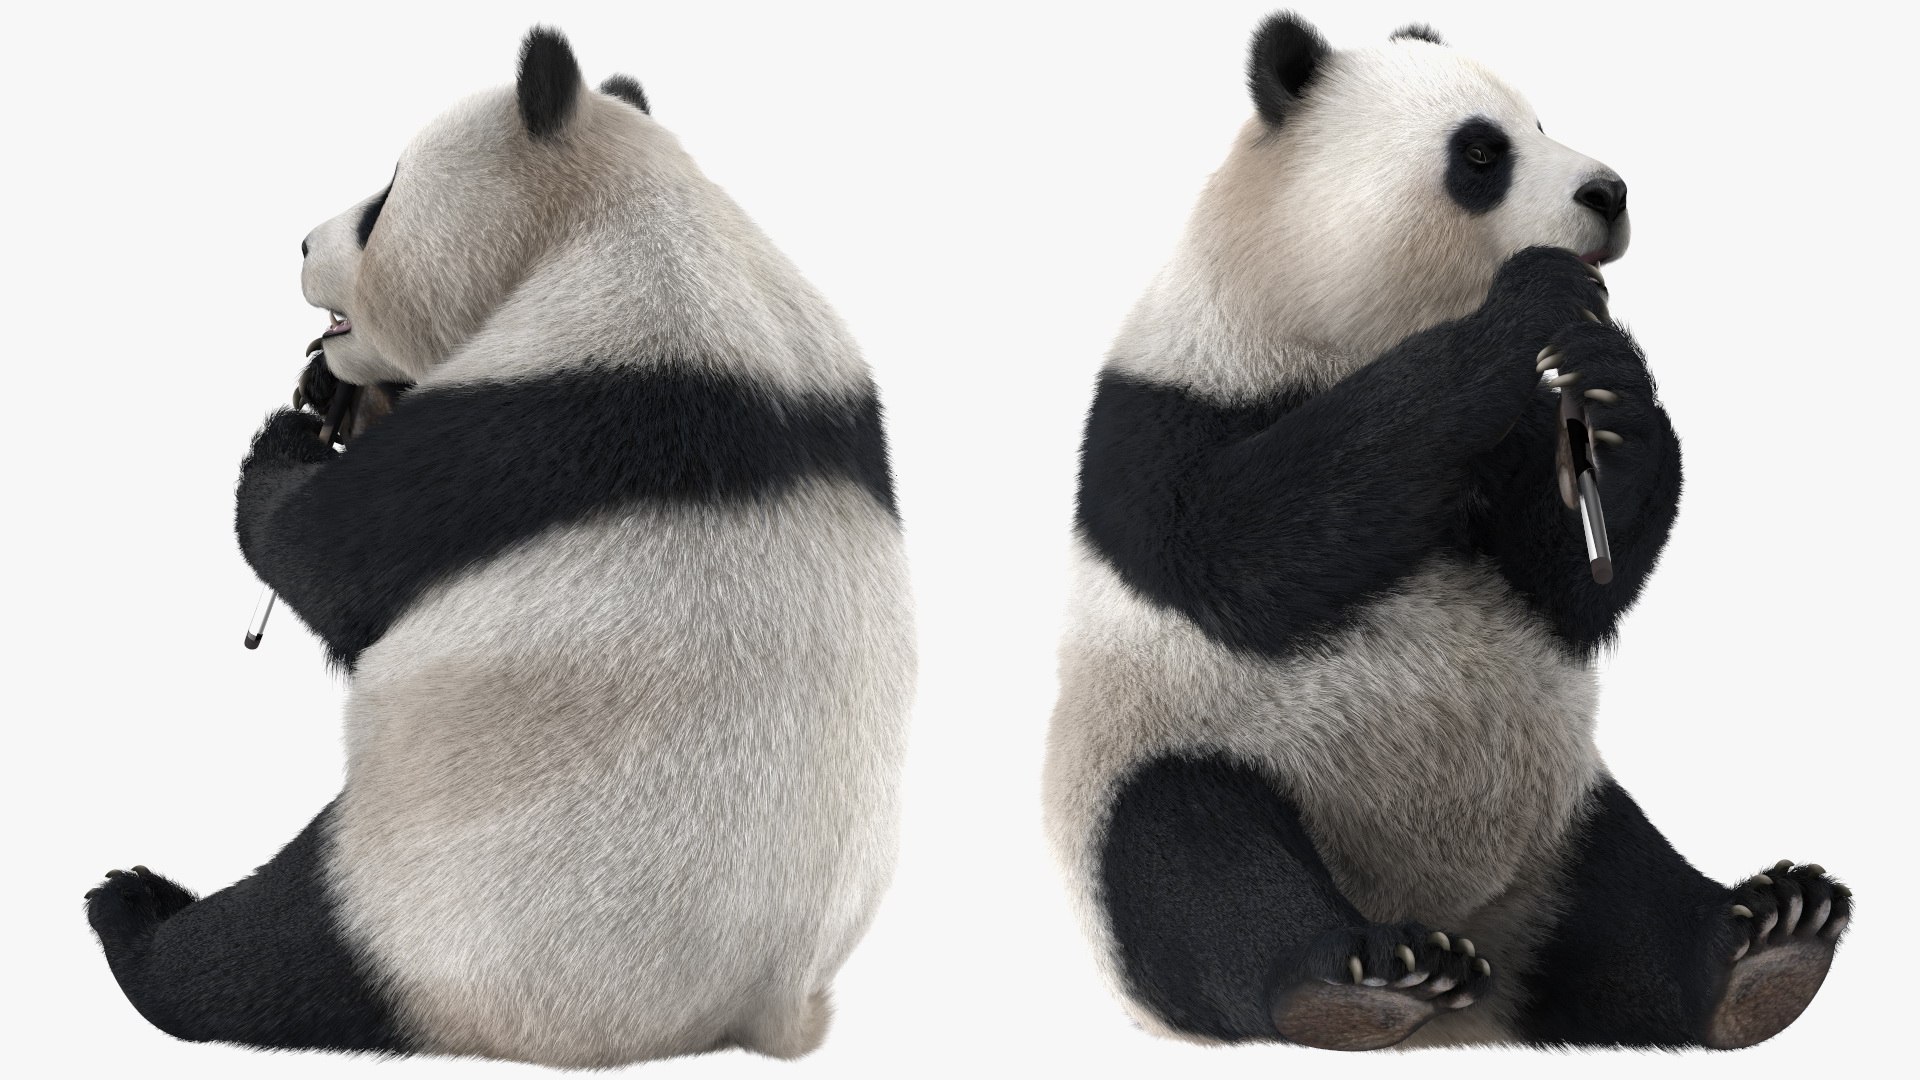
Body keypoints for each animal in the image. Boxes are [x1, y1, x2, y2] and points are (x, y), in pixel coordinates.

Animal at [85, 28, 914, 1068]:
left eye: (384, 201)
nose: (301, 245)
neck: (607, 213)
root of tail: (758, 1010)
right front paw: (334, 392)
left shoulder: (547, 404)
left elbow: (334, 563)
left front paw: (289, 437)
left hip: (461, 896)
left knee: (276, 954)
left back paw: (137, 915)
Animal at [1043, 13, 1849, 1052]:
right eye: (1480, 154)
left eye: (1541, 122)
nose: (1609, 192)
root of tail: (1472, 984)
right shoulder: (1171, 409)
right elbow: (1243, 539)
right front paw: (1533, 302)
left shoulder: (1522, 441)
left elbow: (1565, 583)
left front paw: (1613, 386)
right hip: (1170, 751)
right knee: (1192, 859)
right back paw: (1357, 979)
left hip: (1557, 825)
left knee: (1624, 897)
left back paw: (1765, 943)